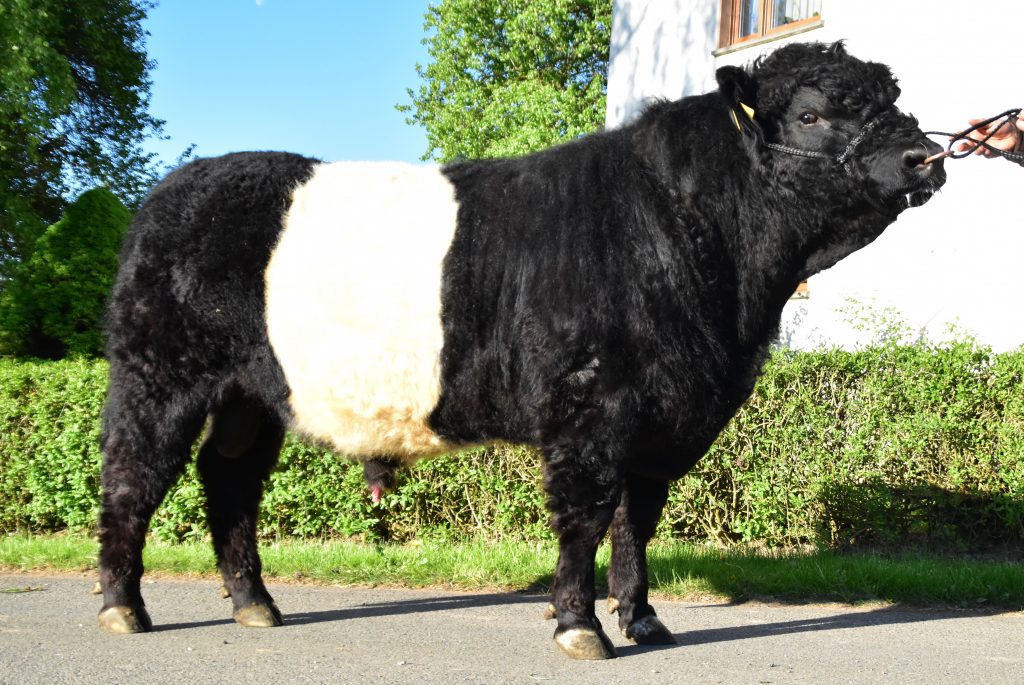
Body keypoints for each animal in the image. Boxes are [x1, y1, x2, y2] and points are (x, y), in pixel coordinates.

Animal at [96, 42, 945, 659]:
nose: (925, 157)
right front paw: (579, 624)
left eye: (893, 100)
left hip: (250, 396)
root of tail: (176, 187)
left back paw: (254, 603)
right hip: (158, 375)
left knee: (230, 482)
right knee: (133, 478)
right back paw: (123, 605)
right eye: (810, 113)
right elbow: (585, 515)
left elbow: (637, 520)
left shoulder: (663, 416)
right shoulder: (591, 405)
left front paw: (643, 618)